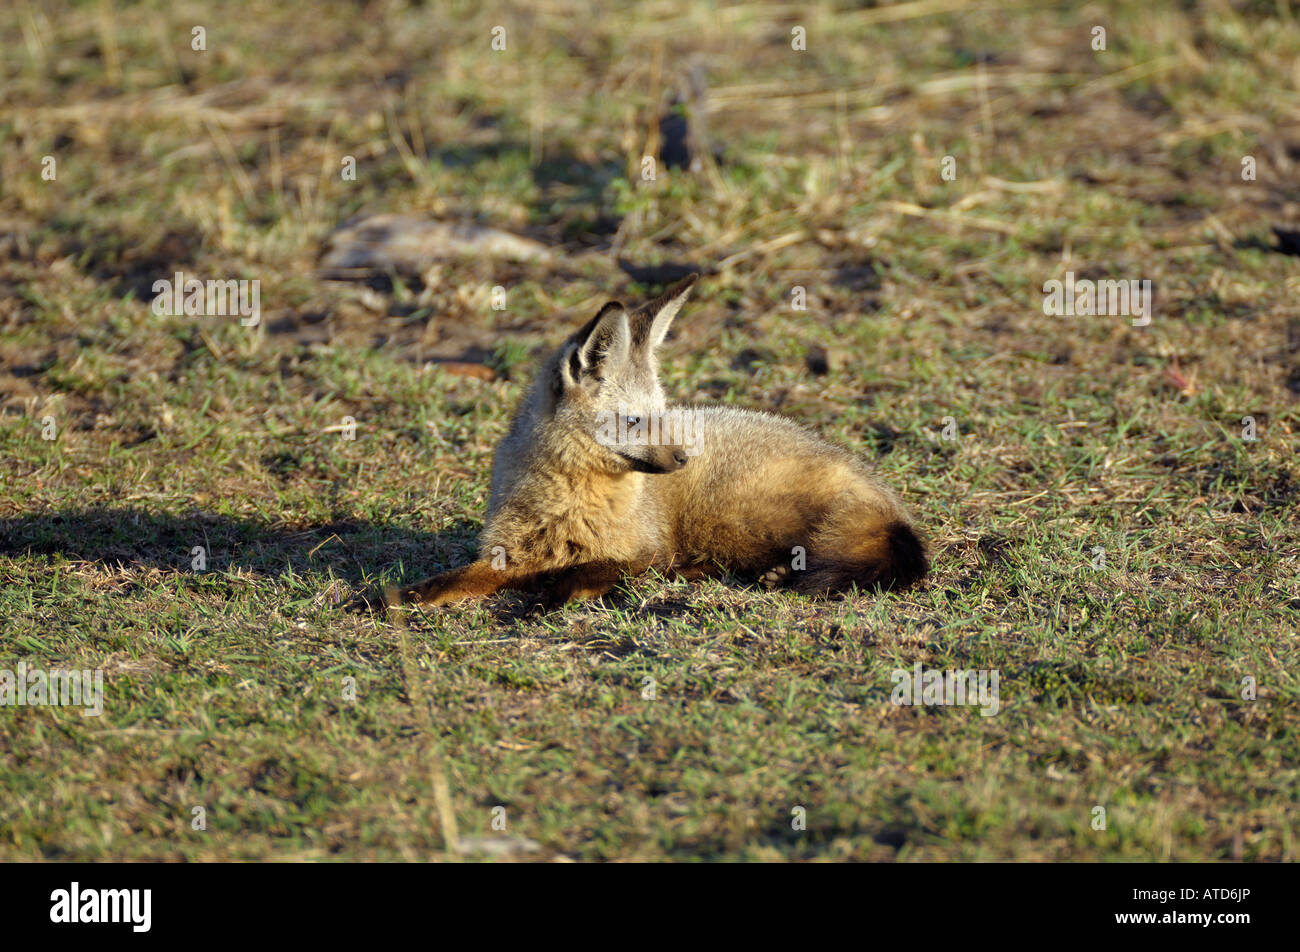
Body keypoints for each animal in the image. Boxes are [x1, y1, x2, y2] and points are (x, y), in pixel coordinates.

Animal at [395, 274, 927, 609]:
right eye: (634, 421)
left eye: (662, 416)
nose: (683, 457)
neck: (574, 503)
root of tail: (885, 496)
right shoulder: (509, 554)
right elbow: (445, 581)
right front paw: (398, 598)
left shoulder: (645, 551)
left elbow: (590, 573)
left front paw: (548, 599)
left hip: (734, 517)